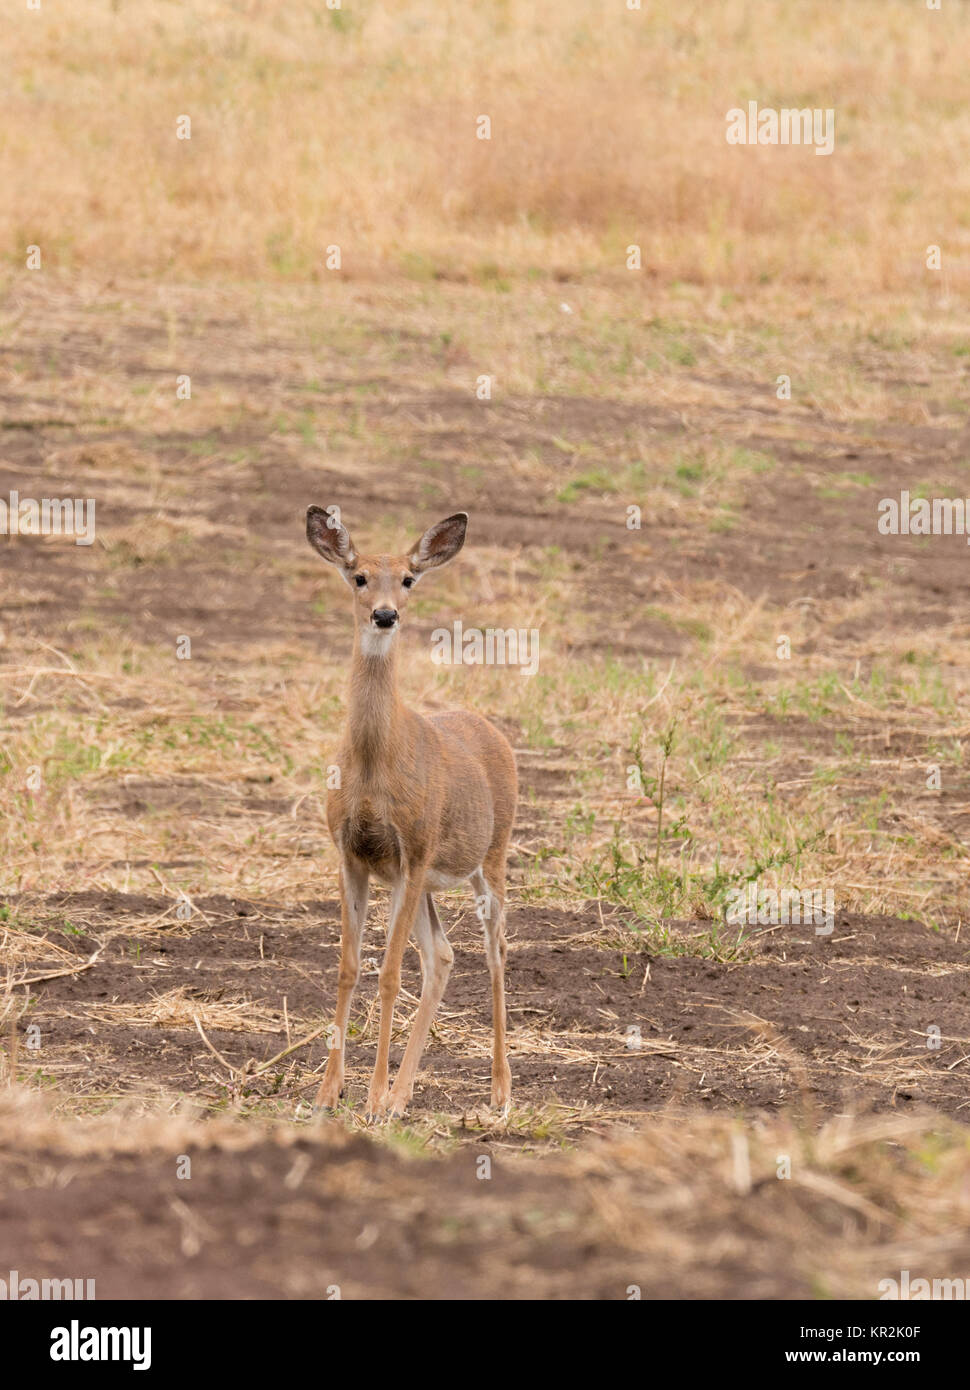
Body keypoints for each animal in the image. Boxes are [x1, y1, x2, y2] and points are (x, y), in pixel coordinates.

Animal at [305, 506, 518, 1120]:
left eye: (407, 579)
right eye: (358, 577)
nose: (385, 614)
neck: (375, 763)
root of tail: (495, 731)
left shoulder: (409, 853)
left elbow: (390, 973)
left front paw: (372, 1099)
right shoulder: (353, 855)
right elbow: (350, 967)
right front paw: (330, 1092)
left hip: (488, 857)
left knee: (495, 951)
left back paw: (499, 1090)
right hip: (429, 879)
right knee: (443, 956)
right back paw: (405, 1093)